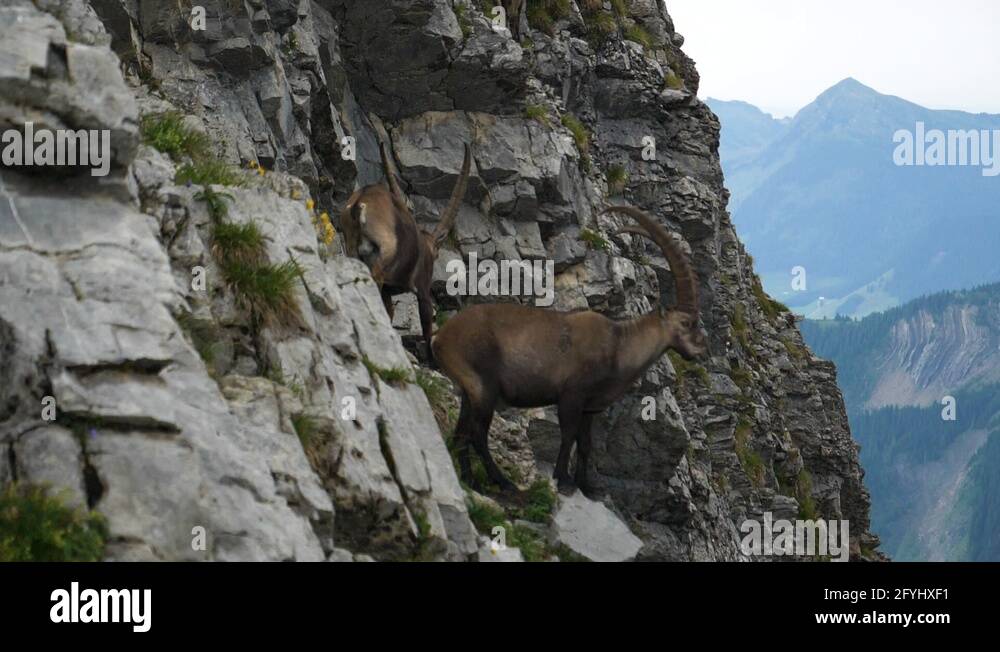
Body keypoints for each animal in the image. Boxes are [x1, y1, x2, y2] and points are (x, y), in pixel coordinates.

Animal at [340, 141, 472, 366]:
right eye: (436, 255)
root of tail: (359, 205)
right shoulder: (423, 287)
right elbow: (427, 325)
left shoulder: (389, 291)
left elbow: (391, 310)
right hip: (383, 254)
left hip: (352, 251)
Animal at [432, 206, 707, 495]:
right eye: (686, 323)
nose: (701, 347)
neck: (619, 344)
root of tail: (440, 338)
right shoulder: (572, 394)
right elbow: (568, 435)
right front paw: (563, 479)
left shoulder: (590, 408)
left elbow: (585, 443)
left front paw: (586, 486)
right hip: (484, 387)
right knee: (477, 434)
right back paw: (505, 483)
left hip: (469, 389)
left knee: (462, 433)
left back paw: (472, 481)